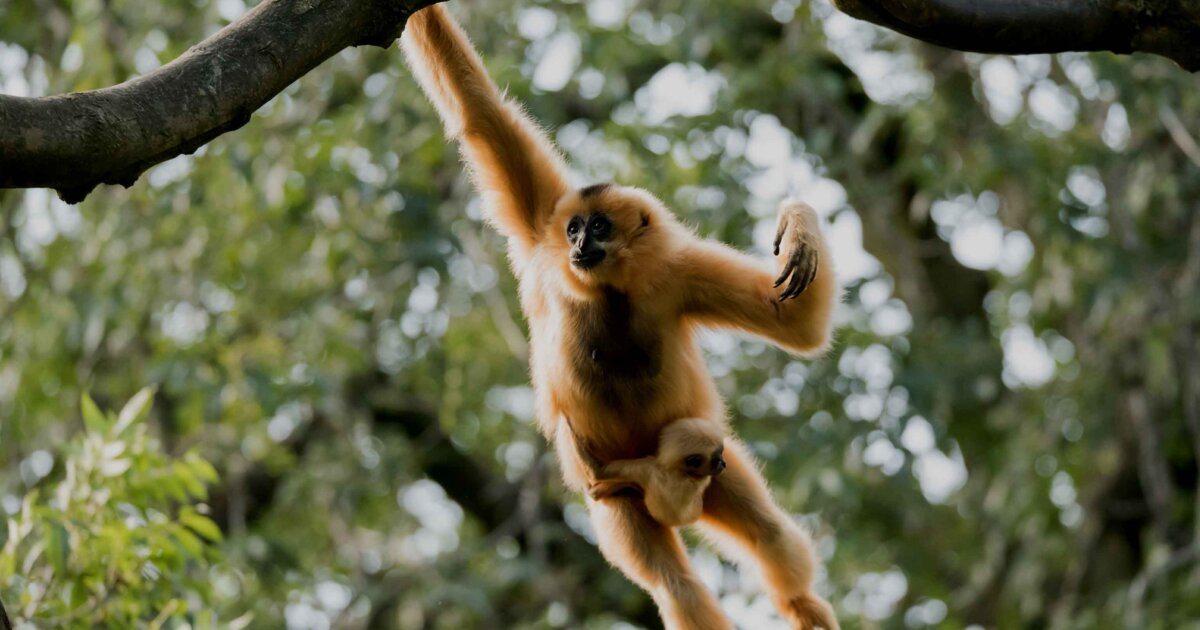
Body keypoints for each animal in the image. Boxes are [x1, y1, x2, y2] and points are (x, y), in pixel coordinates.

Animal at [567, 416, 728, 527]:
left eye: (721, 455)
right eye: (716, 459)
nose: (723, 464)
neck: (675, 469)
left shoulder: (646, 467)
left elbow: (598, 472)